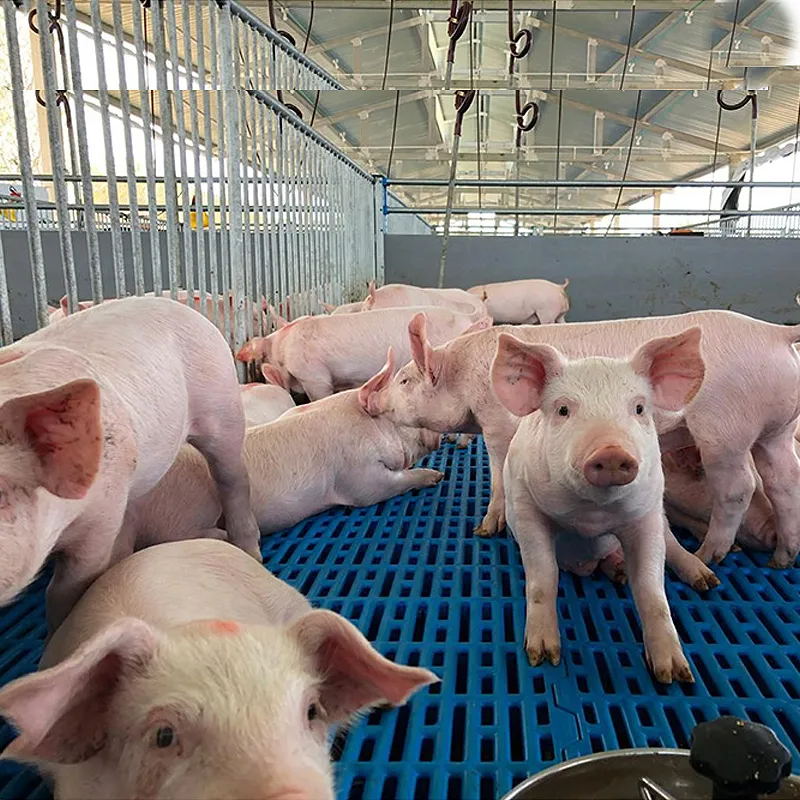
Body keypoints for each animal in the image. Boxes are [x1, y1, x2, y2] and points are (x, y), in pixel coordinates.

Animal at [118, 351, 444, 549]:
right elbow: (390, 484)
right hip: (181, 516)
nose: (438, 435)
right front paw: (435, 476)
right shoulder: (360, 478)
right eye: (404, 420)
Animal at [368, 310, 800, 568]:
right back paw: (782, 558)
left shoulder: (498, 423)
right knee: (784, 481)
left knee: (739, 486)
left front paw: (485, 530)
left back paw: (709, 554)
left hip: (724, 427)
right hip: (775, 430)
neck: (463, 375)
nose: (372, 401)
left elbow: (498, 471)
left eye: (404, 381)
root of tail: (773, 332)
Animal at [495, 329, 715, 683]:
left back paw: (706, 580)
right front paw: (542, 657)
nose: (611, 451)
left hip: (663, 518)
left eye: (639, 408)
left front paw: (674, 675)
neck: (591, 518)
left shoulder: (647, 514)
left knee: (673, 546)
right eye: (563, 410)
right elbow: (544, 576)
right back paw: (618, 571)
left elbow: (651, 589)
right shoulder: (525, 506)